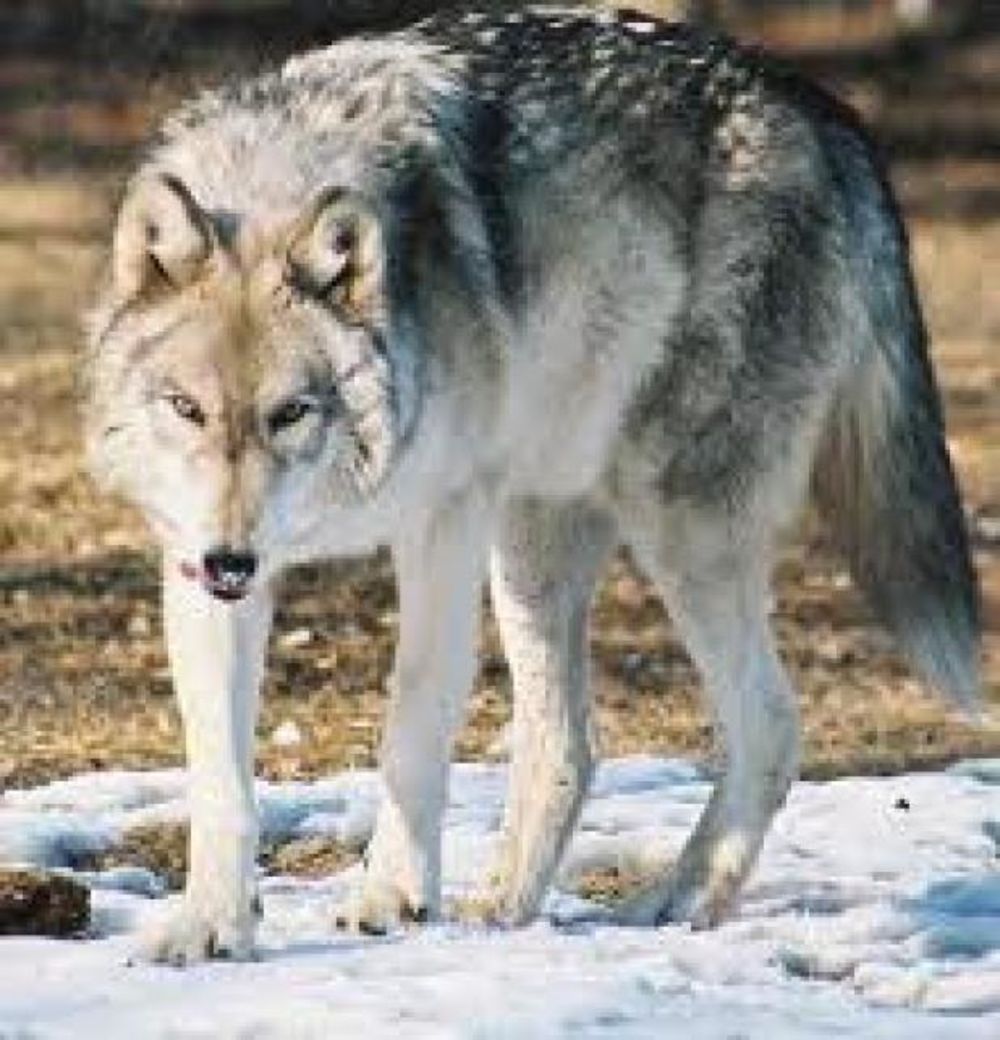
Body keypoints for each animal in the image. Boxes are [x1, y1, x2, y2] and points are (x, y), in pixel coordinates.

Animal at [84, 5, 979, 963]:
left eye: (292, 412)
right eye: (185, 408)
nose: (229, 563)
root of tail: (824, 110)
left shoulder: (442, 522)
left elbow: (412, 723)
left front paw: (390, 896)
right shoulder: (195, 558)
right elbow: (220, 773)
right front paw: (211, 924)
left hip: (671, 530)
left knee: (770, 725)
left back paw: (675, 900)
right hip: (531, 552)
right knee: (572, 745)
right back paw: (502, 911)